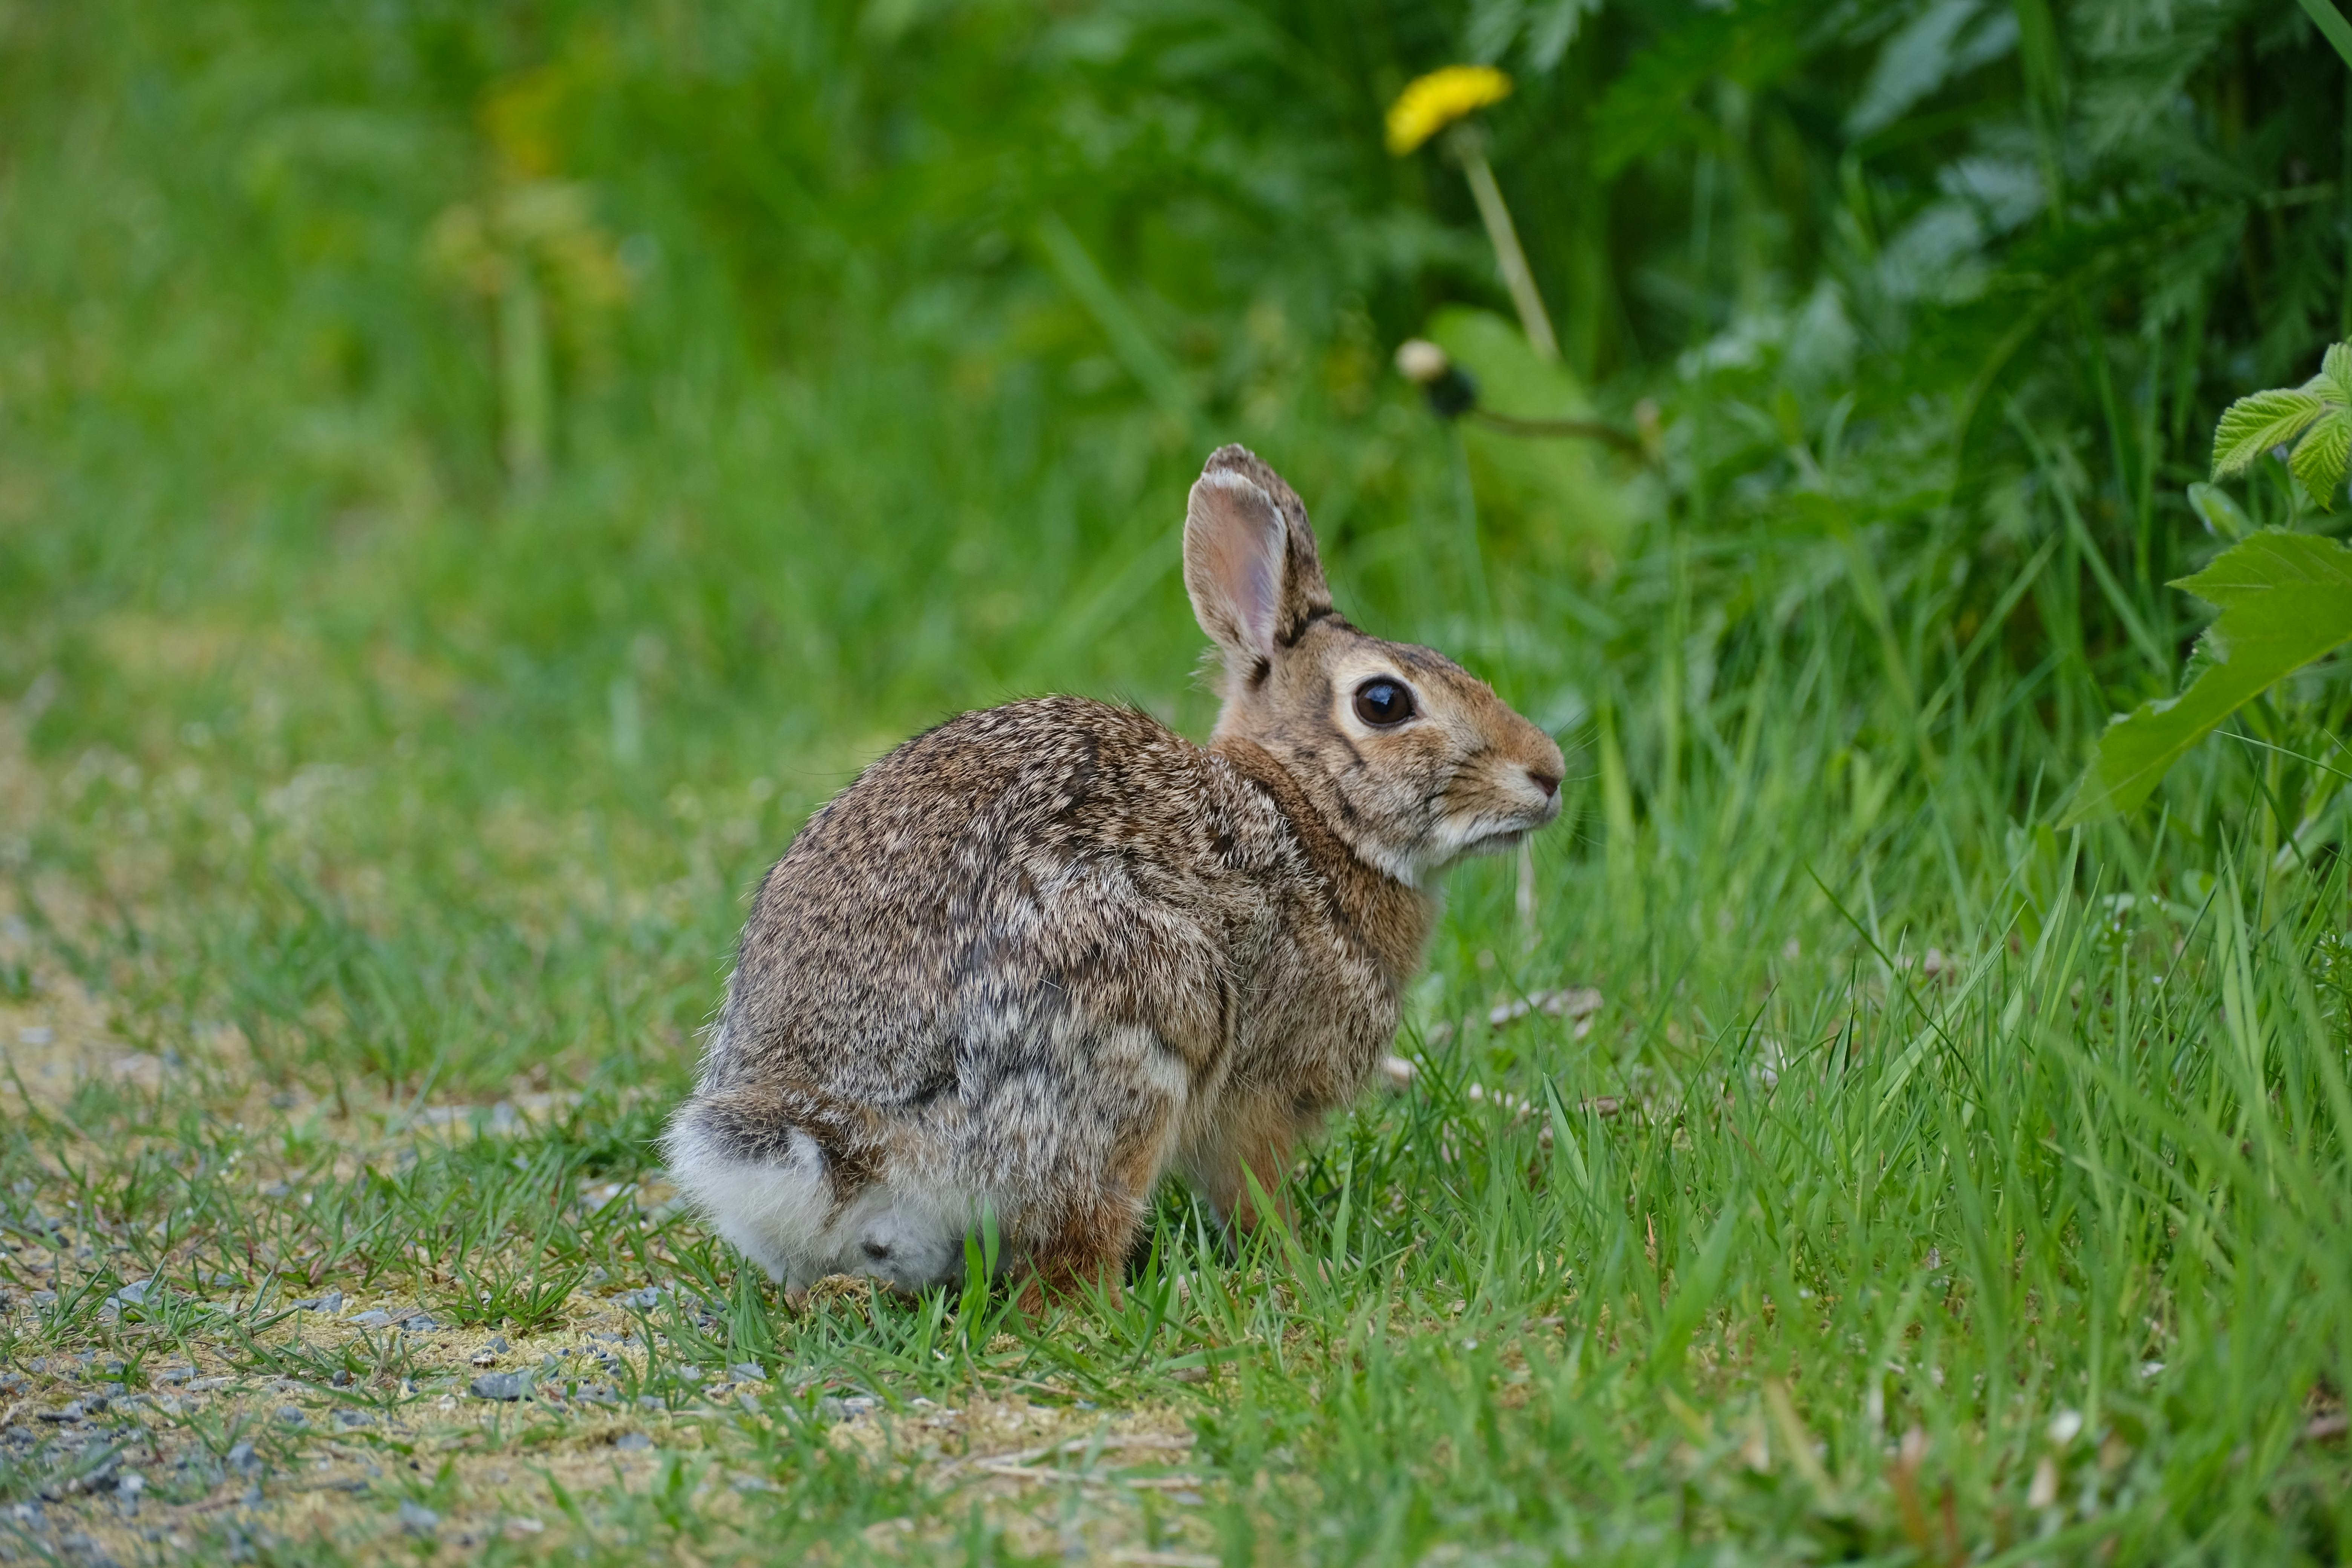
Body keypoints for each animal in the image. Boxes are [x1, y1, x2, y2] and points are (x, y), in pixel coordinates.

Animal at [663, 444, 1565, 1301]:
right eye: (1384, 703)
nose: (1550, 772)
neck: (1305, 809)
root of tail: (845, 1147)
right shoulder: (1261, 1098)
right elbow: (1254, 1190)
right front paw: (1298, 1261)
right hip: (1142, 1025)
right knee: (1068, 1263)